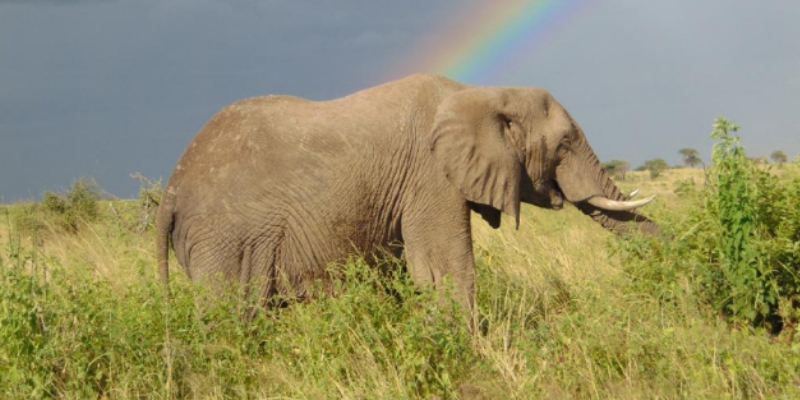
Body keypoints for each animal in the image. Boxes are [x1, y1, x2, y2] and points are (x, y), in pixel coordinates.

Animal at [156, 74, 658, 321]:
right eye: (566, 143)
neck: (480, 94)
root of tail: (171, 190)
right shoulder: (430, 178)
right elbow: (445, 270)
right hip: (227, 240)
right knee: (231, 315)